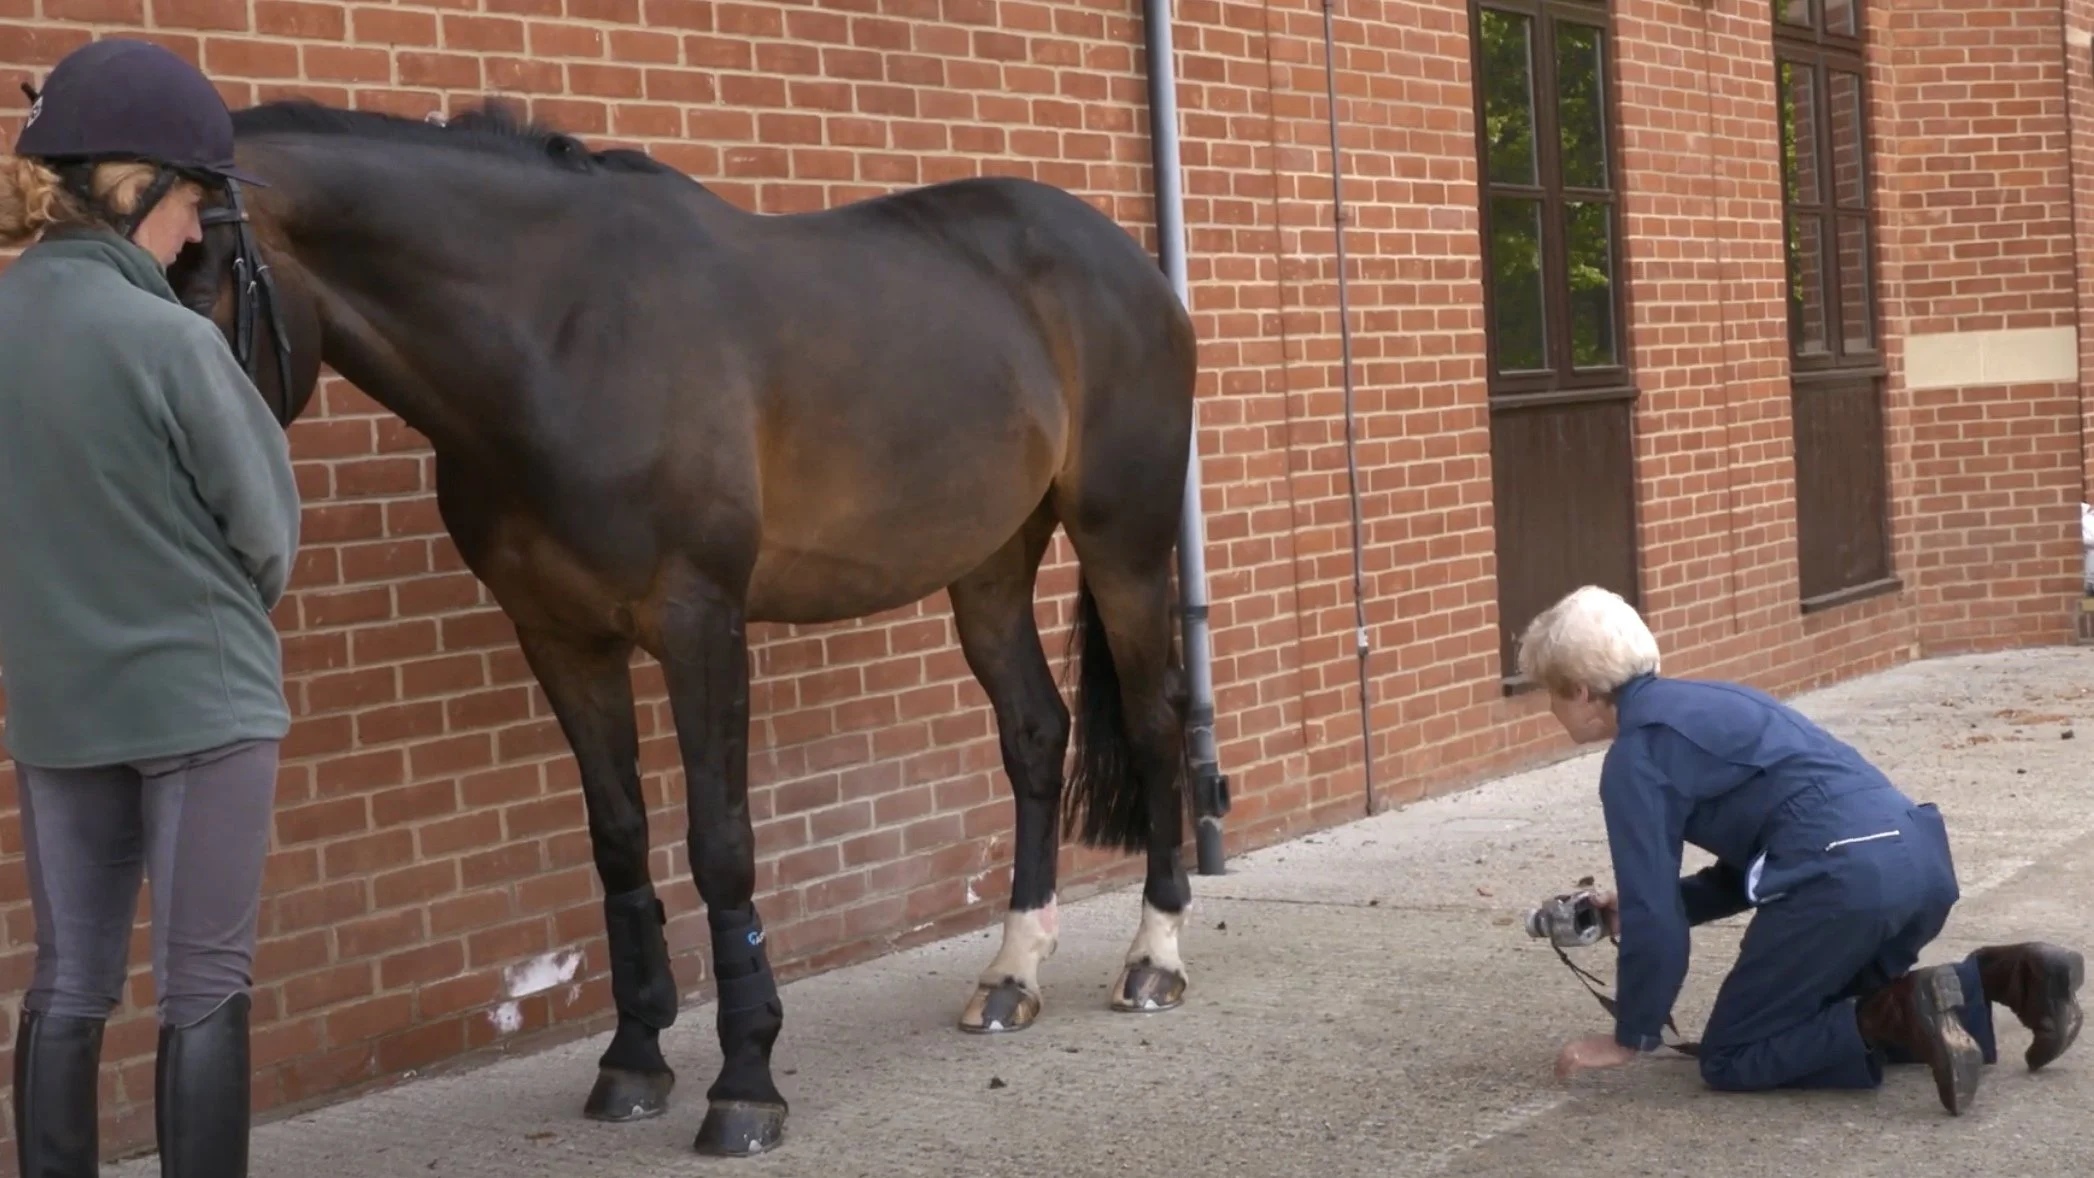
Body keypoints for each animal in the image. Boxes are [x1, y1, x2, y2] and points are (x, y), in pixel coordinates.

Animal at [167, 98, 1202, 1157]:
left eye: (184, 267)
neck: (564, 336)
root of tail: (1126, 262)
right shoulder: (559, 637)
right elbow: (619, 838)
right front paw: (632, 1061)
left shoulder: (700, 622)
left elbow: (721, 843)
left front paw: (744, 1083)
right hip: (989, 558)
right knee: (1034, 732)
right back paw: (1010, 973)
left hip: (1123, 538)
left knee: (1156, 721)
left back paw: (1153, 957)